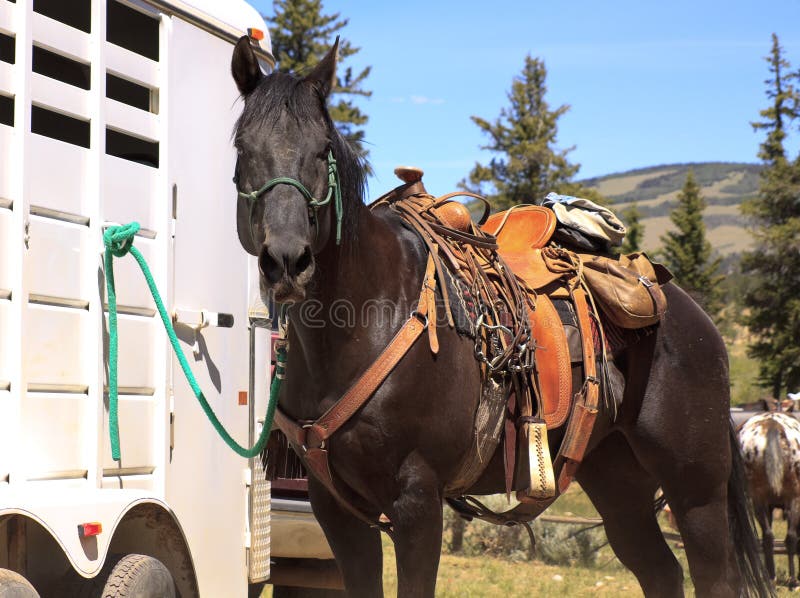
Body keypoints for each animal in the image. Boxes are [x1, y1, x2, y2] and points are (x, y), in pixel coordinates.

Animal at [229, 37, 771, 597]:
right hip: (616, 480)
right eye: (243, 149)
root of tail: (692, 314)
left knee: (715, 576)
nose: (287, 261)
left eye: (323, 151)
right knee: (660, 571)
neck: (363, 323)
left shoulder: (417, 502)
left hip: (695, 488)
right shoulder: (336, 509)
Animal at [739, 411, 800, 588]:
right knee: (787, 536)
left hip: (760, 499)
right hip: (789, 497)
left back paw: (772, 577)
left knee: (768, 536)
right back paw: (790, 580)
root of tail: (773, 425)